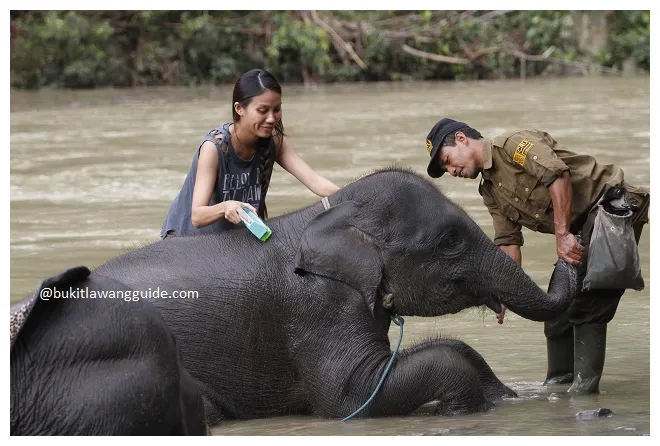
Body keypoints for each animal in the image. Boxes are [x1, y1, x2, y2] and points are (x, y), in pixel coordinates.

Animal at [89, 167, 578, 424]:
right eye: (450, 241)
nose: (571, 246)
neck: (334, 212)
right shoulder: (317, 308)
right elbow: (350, 395)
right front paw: (459, 411)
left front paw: (506, 398)